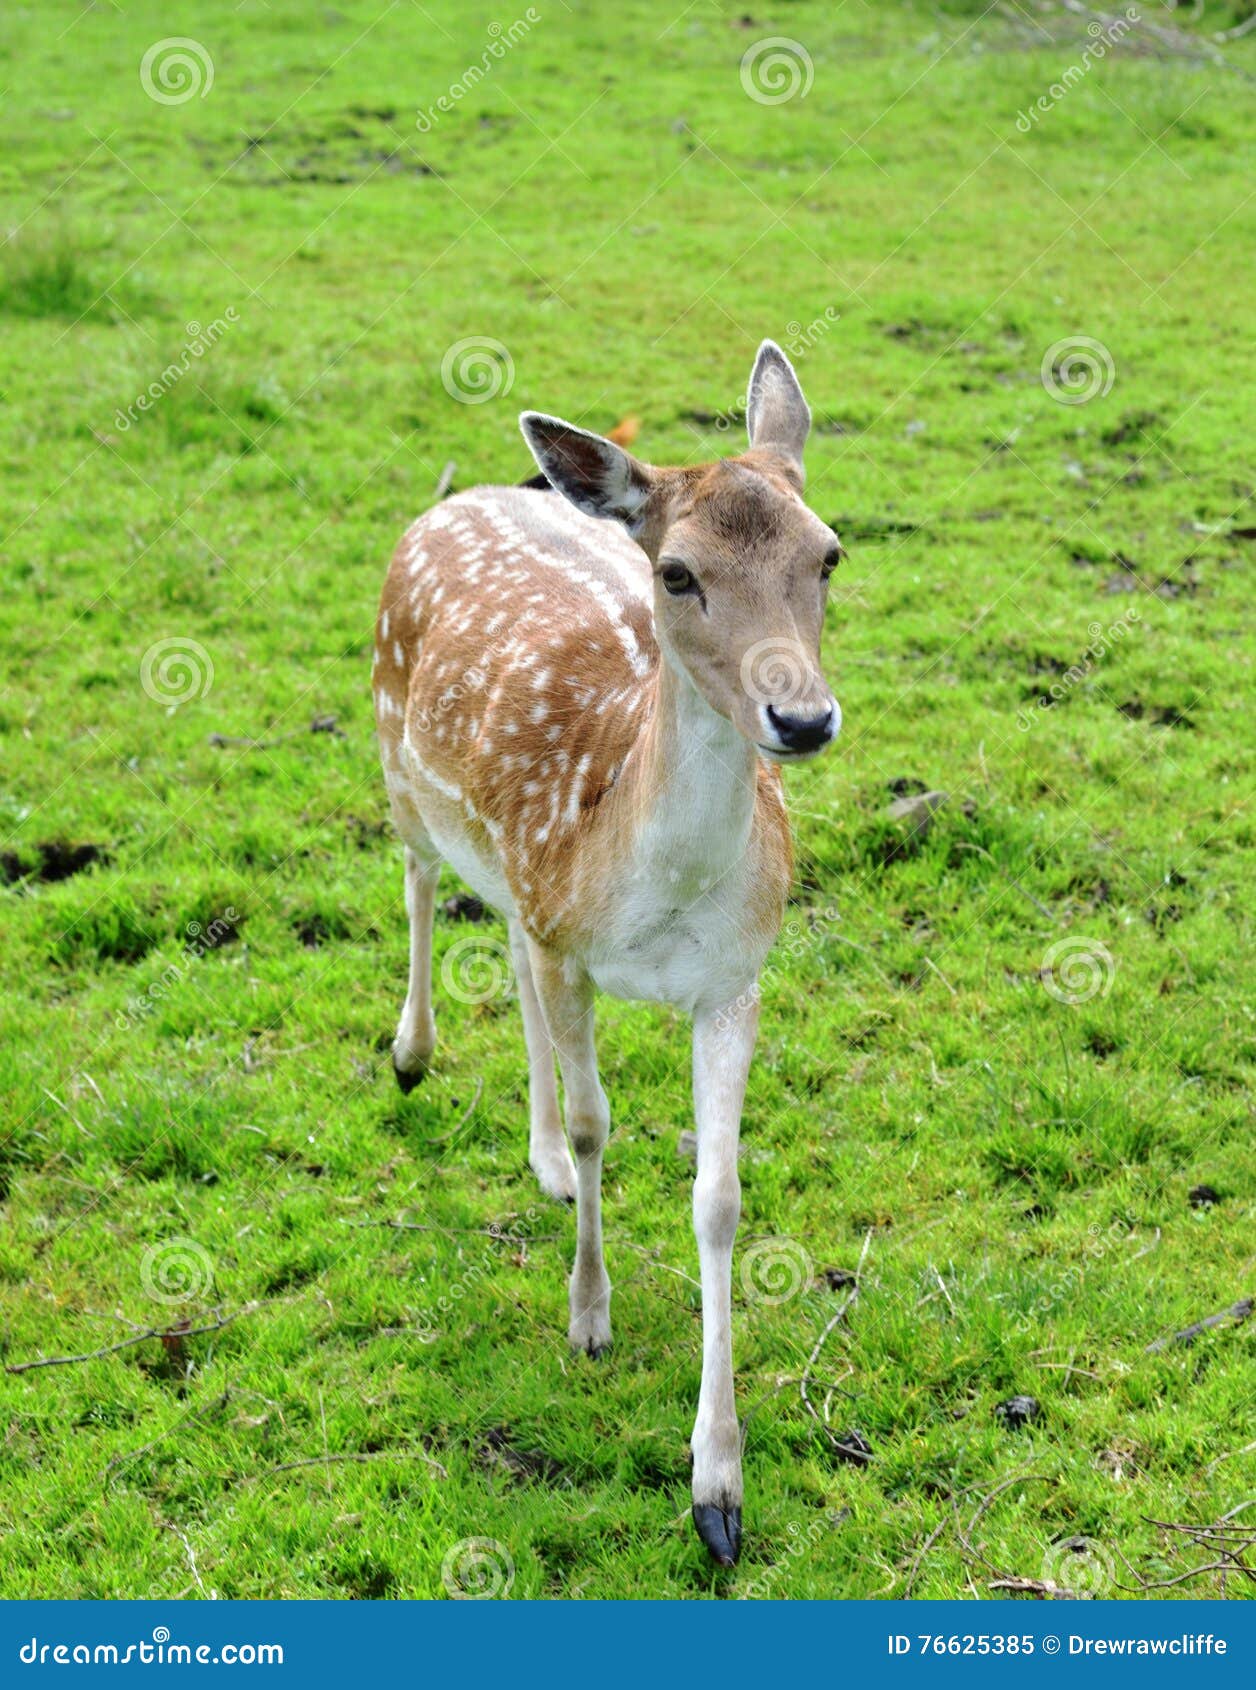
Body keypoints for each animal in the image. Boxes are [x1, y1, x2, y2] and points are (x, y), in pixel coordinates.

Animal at [373, 342, 841, 1566]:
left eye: (829, 553)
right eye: (675, 573)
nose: (801, 719)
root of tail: (461, 497)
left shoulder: (733, 978)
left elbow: (718, 1196)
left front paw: (718, 1489)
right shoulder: (566, 936)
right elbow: (598, 1125)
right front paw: (589, 1318)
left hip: (515, 875)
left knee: (506, 954)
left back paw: (533, 1156)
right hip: (395, 765)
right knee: (422, 884)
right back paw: (410, 1052)